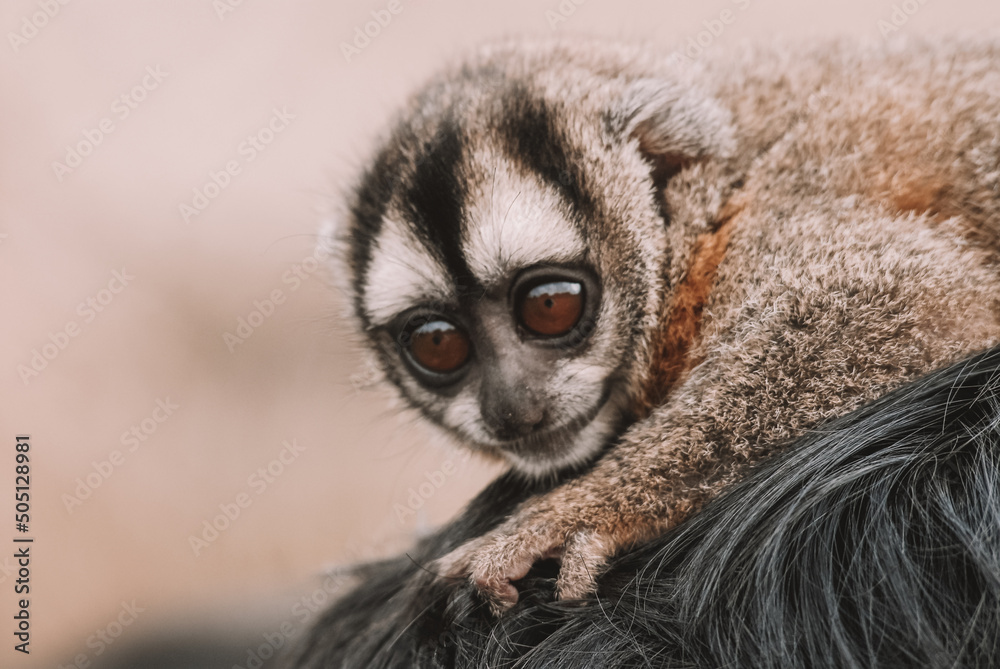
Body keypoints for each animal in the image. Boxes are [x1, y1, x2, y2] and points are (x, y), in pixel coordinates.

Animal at [327, 36, 1000, 613]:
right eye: (438, 343)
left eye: (549, 306)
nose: (512, 409)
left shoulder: (777, 214)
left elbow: (910, 299)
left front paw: (572, 513)